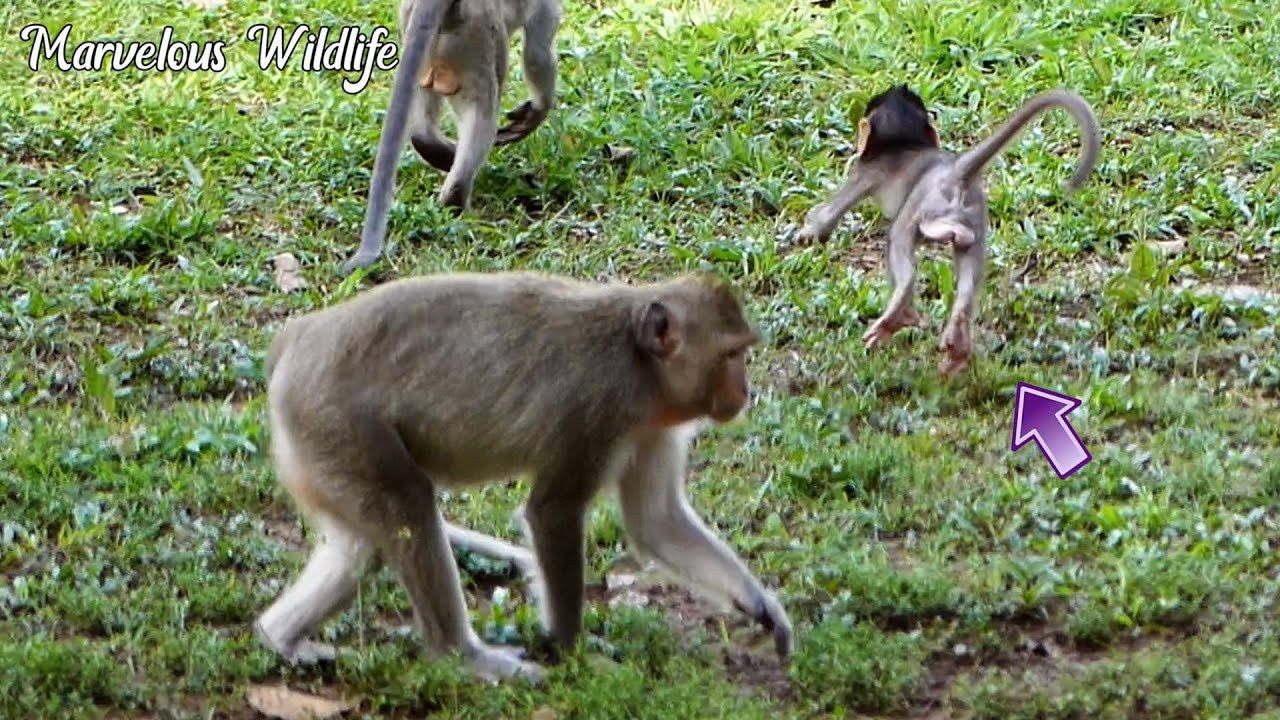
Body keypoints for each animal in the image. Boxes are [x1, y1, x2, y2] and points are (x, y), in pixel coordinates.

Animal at [252, 271, 793, 683]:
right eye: (730, 356)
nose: (744, 391)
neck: (638, 364)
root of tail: (297, 338)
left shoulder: (652, 427)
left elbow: (656, 522)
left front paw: (761, 605)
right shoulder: (592, 411)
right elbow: (552, 512)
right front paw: (572, 653)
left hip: (318, 445)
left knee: (362, 548)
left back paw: (279, 638)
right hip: (334, 421)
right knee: (408, 508)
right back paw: (462, 654)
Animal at [341, 0, 562, 274]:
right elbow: (538, 48)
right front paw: (539, 110)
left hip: (427, 39)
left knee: (423, 111)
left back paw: (440, 152)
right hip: (476, 40)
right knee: (482, 113)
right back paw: (456, 198)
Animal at [796, 85, 1100, 377]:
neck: (904, 142)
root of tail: (956, 171)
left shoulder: (865, 171)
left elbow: (830, 213)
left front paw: (809, 234)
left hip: (925, 203)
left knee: (899, 239)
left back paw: (900, 312)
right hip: (976, 214)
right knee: (969, 261)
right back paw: (957, 339)